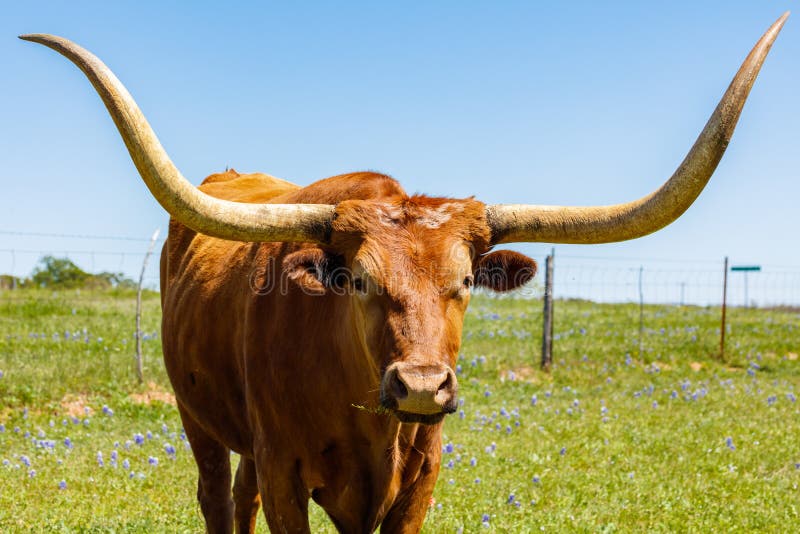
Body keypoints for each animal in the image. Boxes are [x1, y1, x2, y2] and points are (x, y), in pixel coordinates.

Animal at [21, 12, 786, 533]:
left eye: (468, 281)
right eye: (356, 279)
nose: (421, 385)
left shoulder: (418, 482)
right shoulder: (287, 471)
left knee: (237, 496)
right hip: (196, 417)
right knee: (215, 497)